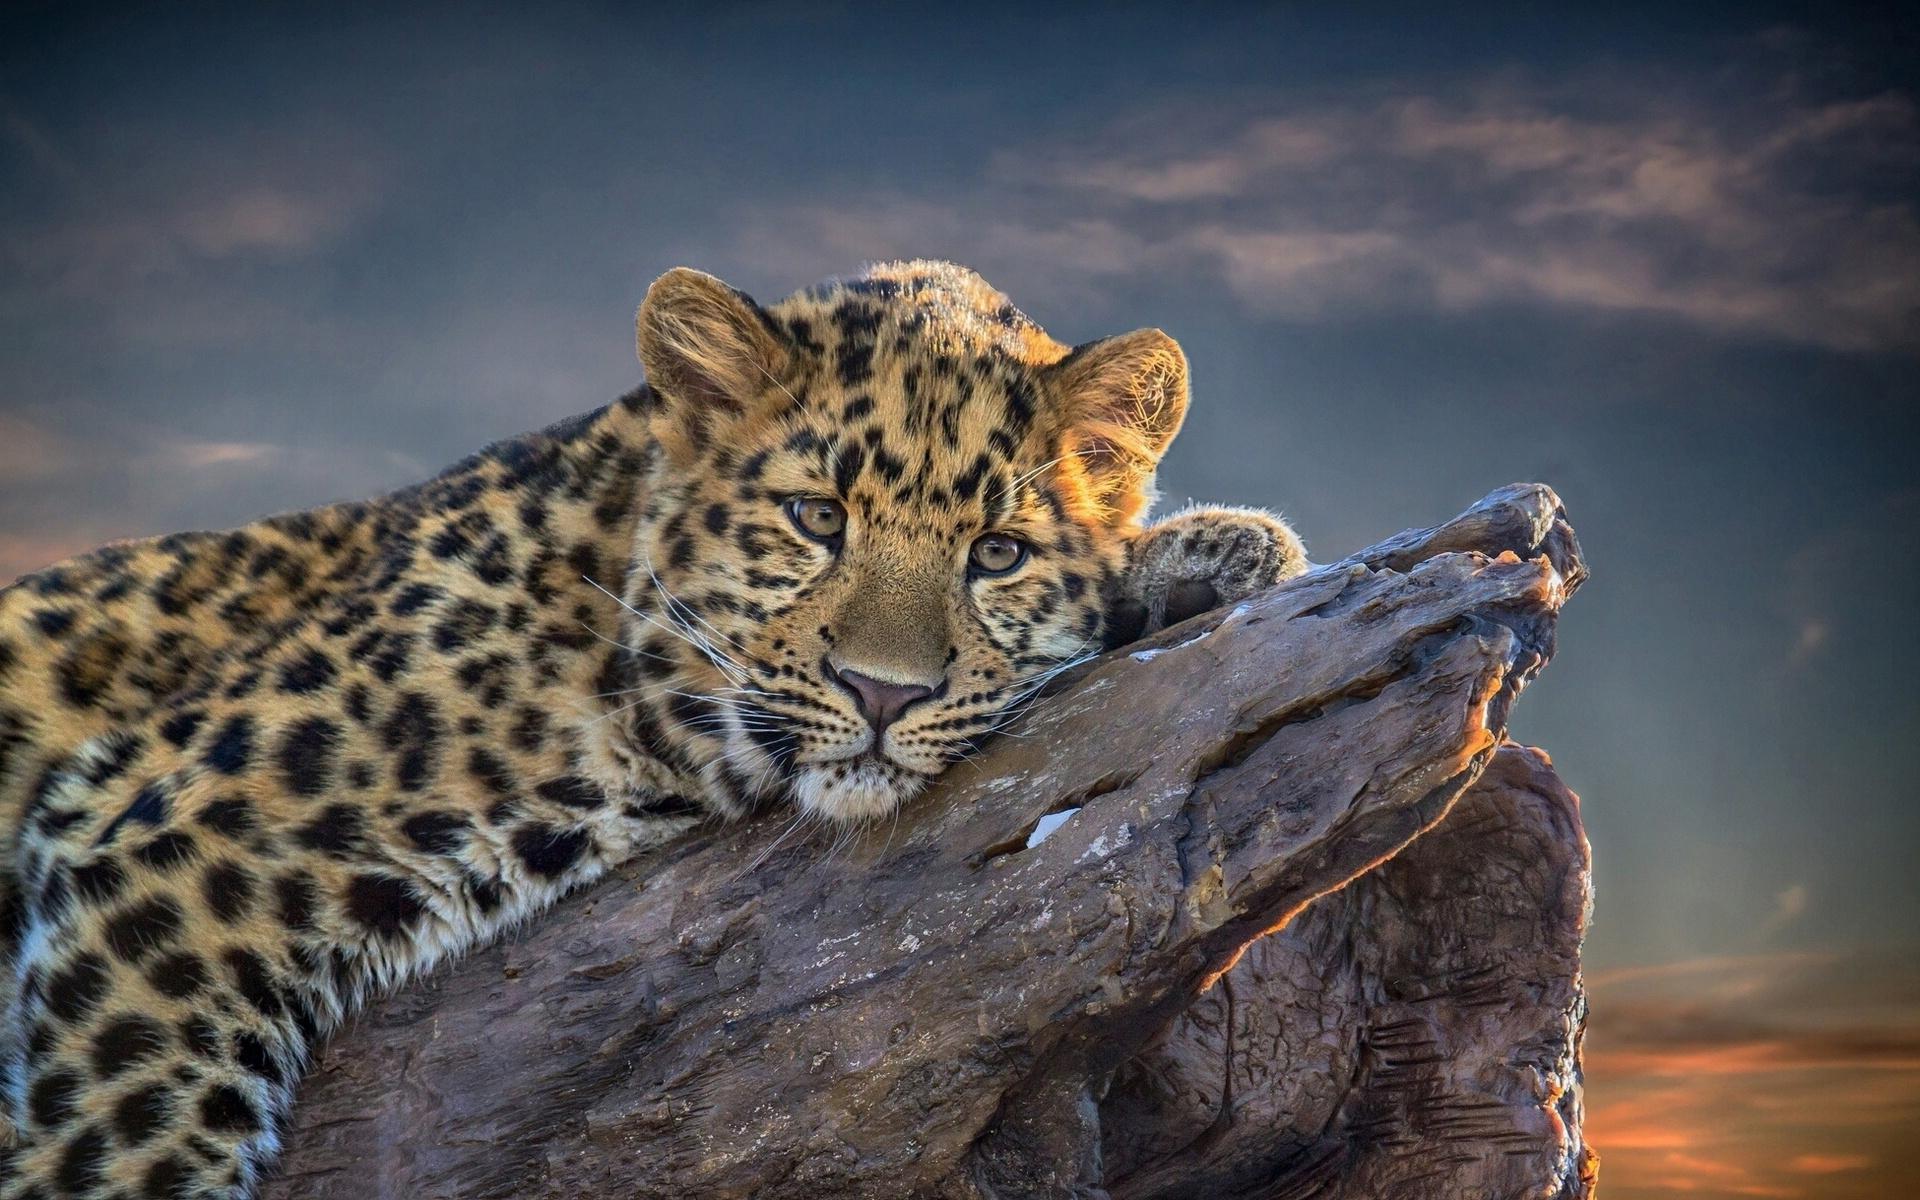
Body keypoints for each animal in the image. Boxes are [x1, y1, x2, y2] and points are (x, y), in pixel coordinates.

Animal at [0, 260, 1307, 1197]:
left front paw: (1209, 556)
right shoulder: (160, 841)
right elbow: (126, 1135)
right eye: (815, 517)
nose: (884, 692)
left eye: (997, 553)